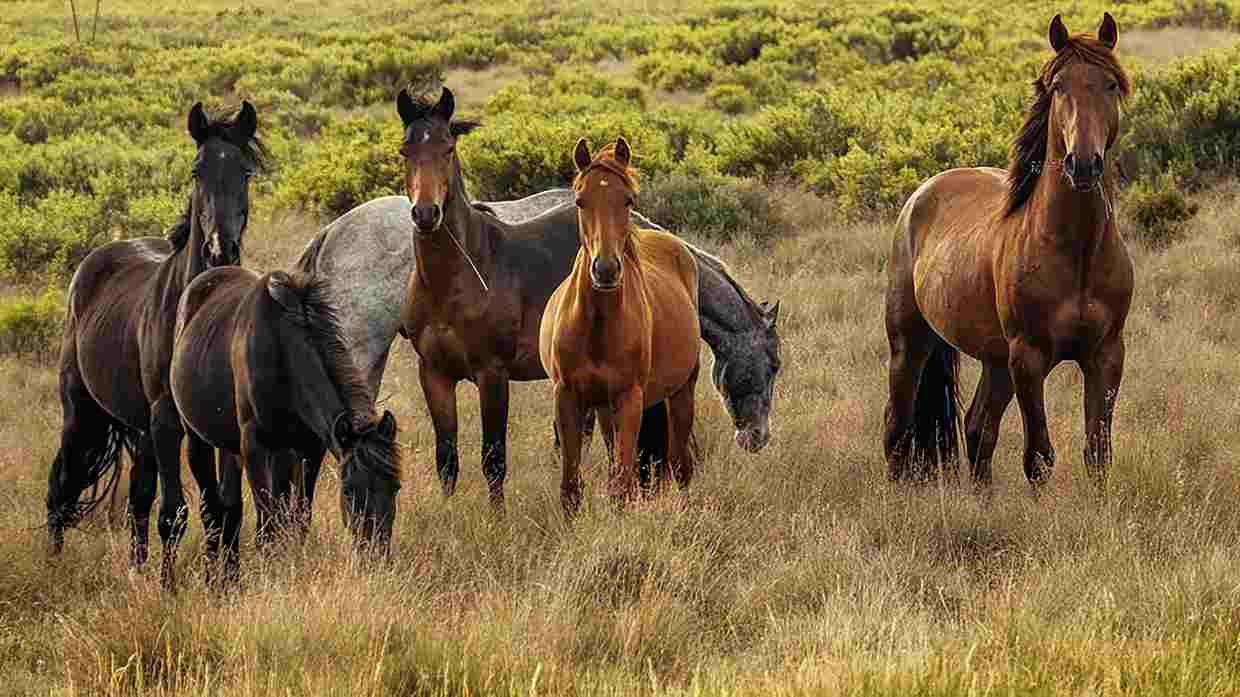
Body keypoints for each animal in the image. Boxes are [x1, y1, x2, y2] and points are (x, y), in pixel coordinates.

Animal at [46, 101, 265, 589]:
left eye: (245, 171)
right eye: (197, 170)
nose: (221, 249)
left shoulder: (216, 427)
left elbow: (225, 507)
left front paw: (225, 580)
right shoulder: (167, 418)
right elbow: (176, 512)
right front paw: (170, 589)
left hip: (142, 429)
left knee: (139, 498)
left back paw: (136, 568)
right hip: (83, 412)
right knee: (61, 484)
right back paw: (54, 563)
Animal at [171, 267, 401, 580]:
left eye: (395, 488)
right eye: (349, 491)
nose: (375, 559)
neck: (283, 351)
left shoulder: (309, 449)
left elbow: (298, 518)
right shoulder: (254, 445)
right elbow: (267, 524)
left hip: (244, 449)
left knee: (232, 507)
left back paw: (230, 578)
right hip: (199, 440)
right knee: (213, 511)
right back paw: (215, 579)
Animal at [540, 138, 700, 511]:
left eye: (628, 199)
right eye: (580, 201)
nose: (606, 269)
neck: (597, 327)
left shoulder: (630, 400)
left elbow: (622, 485)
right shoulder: (568, 398)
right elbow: (571, 488)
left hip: (681, 392)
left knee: (680, 465)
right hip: (603, 408)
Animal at [883, 13, 1132, 491]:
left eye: (1110, 84)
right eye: (1058, 87)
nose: (1083, 164)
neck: (1077, 251)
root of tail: (922, 194)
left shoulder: (1106, 355)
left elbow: (1098, 453)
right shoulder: (1029, 359)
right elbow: (1039, 457)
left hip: (995, 359)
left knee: (978, 428)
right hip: (910, 343)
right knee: (897, 429)